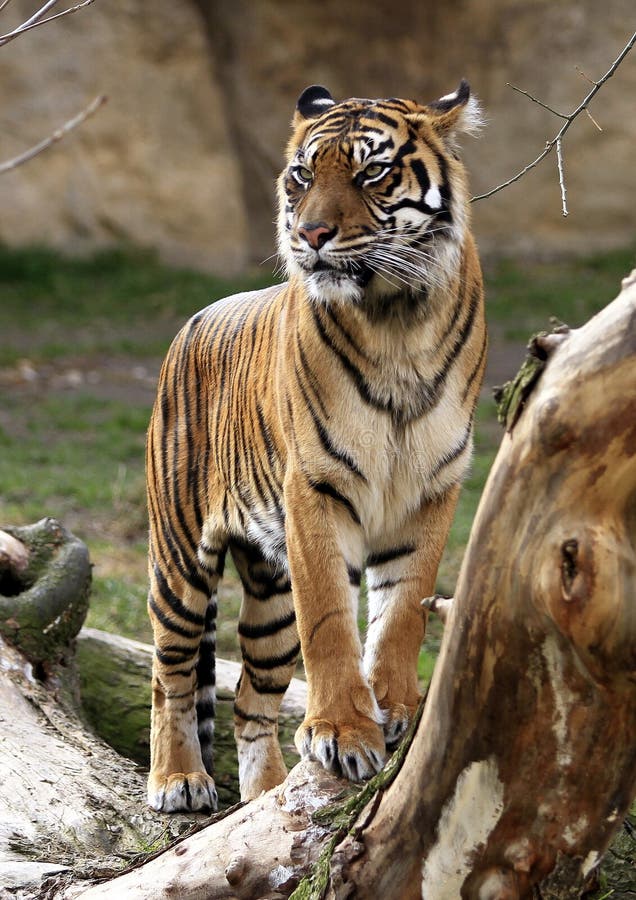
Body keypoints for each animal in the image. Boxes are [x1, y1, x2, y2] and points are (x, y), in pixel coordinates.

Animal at [146, 80, 487, 813]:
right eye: (302, 176)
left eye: (372, 172)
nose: (310, 234)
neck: (397, 318)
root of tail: (191, 322)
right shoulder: (317, 488)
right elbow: (330, 619)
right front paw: (343, 733)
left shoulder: (432, 488)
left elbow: (404, 610)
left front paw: (396, 708)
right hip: (179, 562)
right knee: (172, 675)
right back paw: (178, 781)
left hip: (270, 601)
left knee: (250, 701)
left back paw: (266, 796)